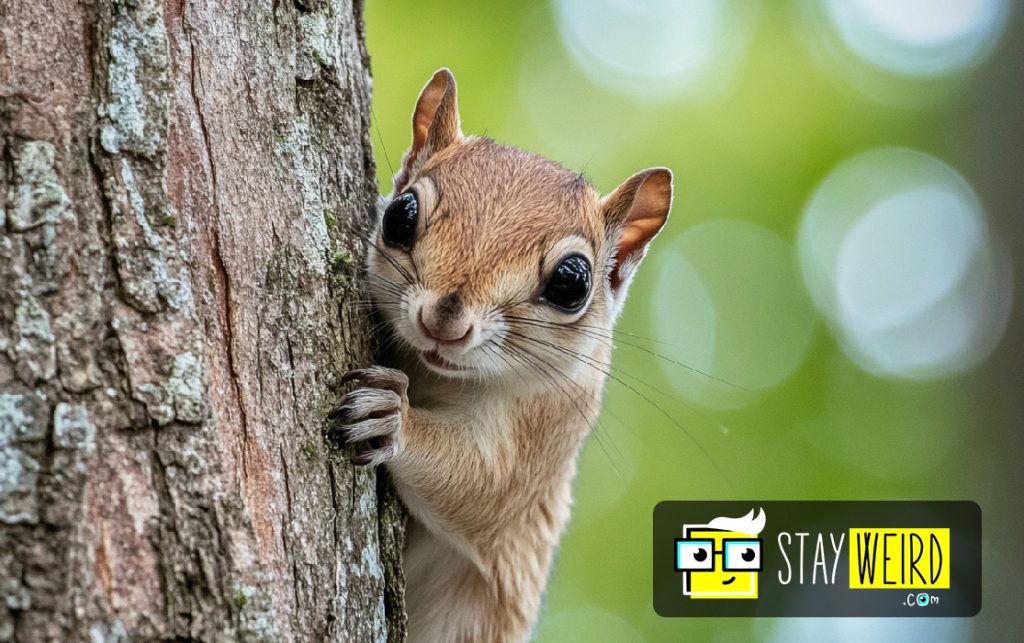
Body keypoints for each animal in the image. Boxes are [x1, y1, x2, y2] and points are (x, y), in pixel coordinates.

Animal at [329, 69, 672, 643]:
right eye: (400, 215)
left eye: (572, 283)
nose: (442, 320)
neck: (437, 376)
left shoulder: (546, 433)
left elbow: (483, 489)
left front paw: (391, 418)